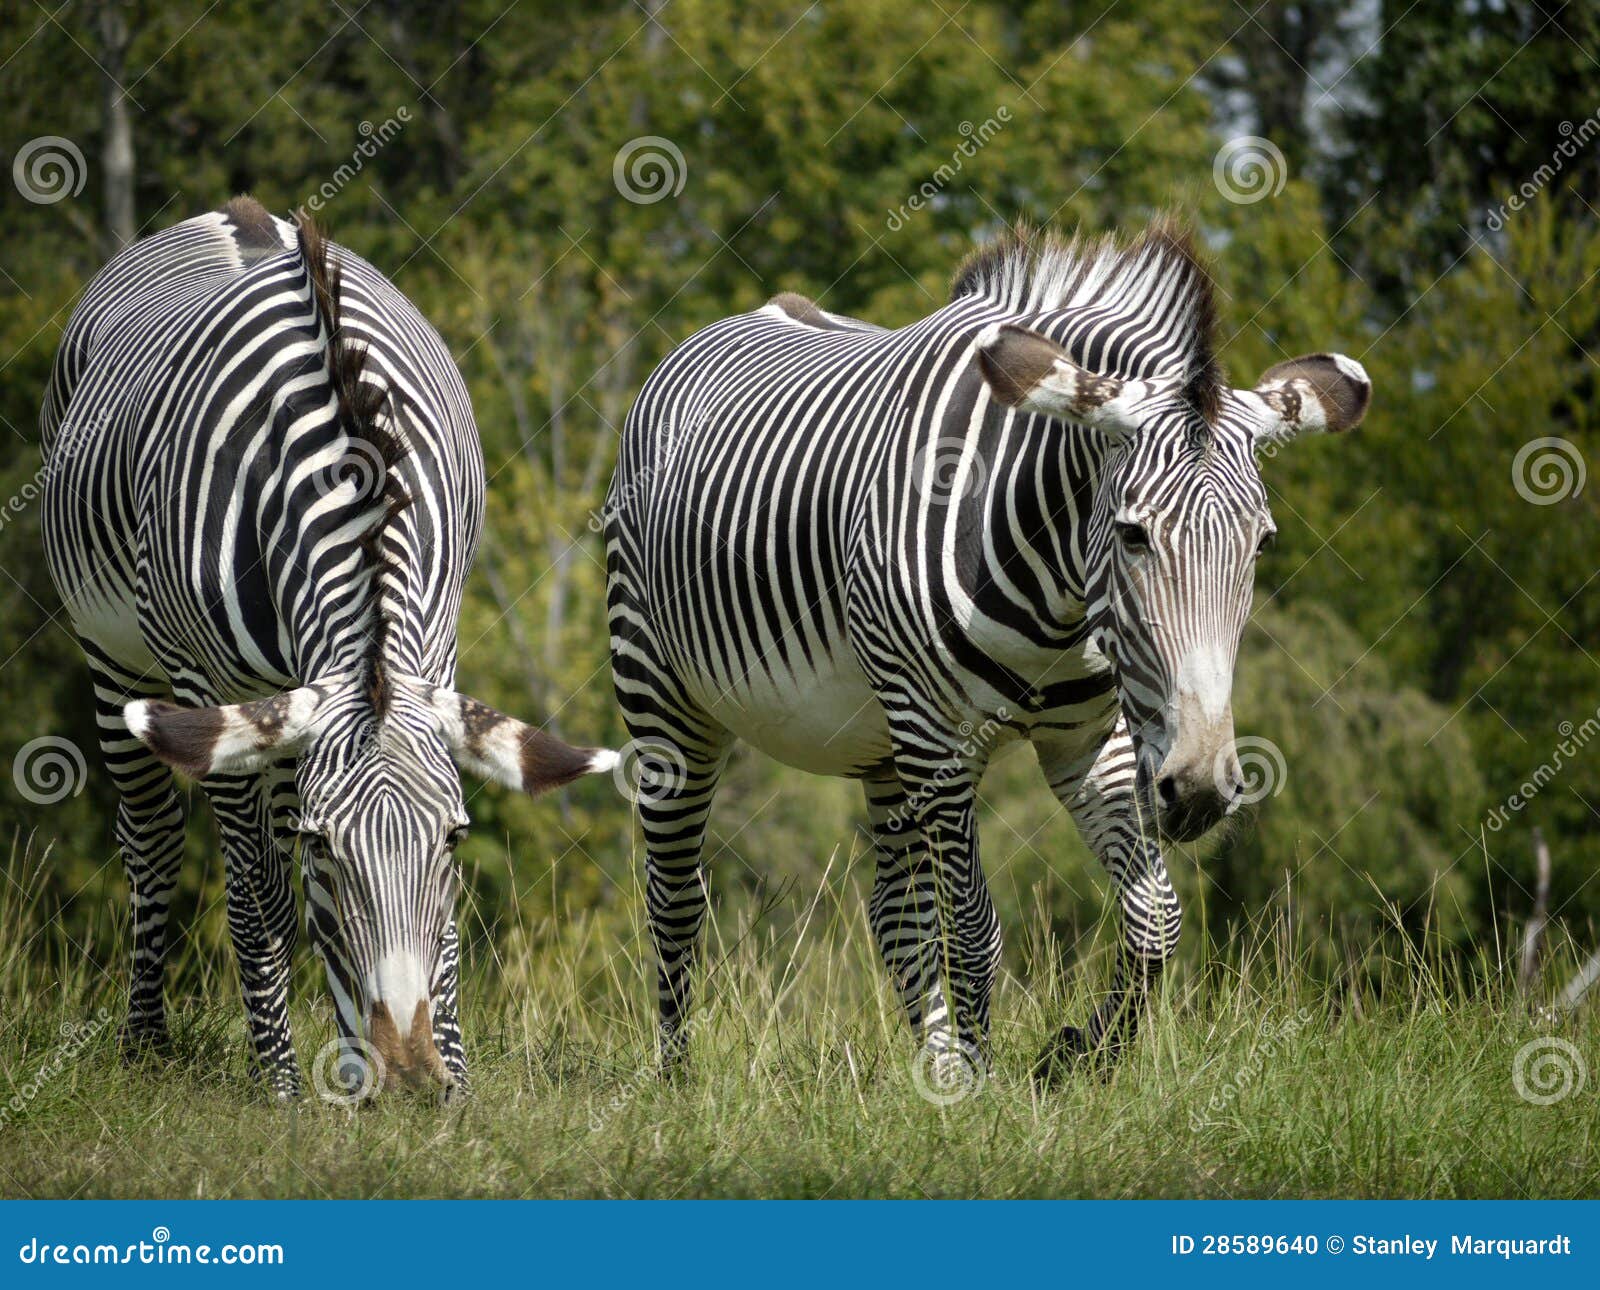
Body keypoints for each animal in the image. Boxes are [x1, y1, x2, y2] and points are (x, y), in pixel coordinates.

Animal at [42, 197, 616, 1100]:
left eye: (454, 840)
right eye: (325, 846)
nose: (411, 1079)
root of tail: (231, 211)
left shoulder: (433, 652)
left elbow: (421, 927)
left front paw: (445, 1068)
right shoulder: (203, 686)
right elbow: (259, 893)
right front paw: (282, 1081)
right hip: (116, 656)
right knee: (155, 840)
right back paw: (146, 1042)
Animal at [603, 216, 1369, 1083]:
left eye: (1261, 545)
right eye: (1133, 535)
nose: (1203, 789)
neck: (1061, 594)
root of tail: (764, 309)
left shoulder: (1088, 742)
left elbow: (1155, 919)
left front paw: (1077, 1053)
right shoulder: (940, 742)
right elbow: (974, 929)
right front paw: (982, 1086)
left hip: (883, 745)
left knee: (896, 913)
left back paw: (932, 1068)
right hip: (666, 701)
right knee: (675, 895)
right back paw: (679, 1078)